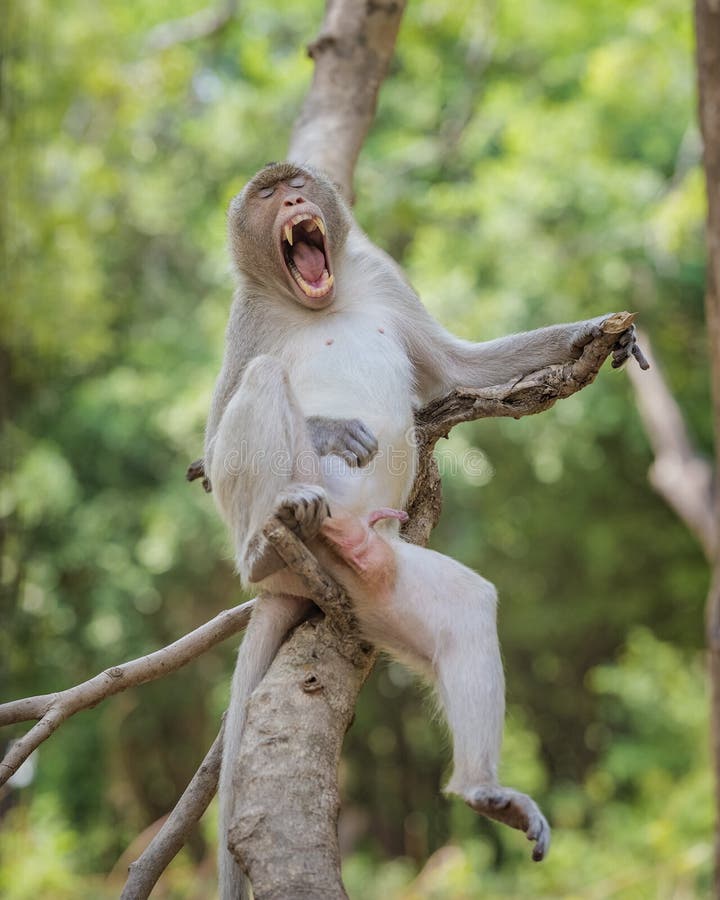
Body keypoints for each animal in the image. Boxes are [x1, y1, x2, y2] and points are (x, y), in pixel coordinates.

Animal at [204, 161, 648, 898]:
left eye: (297, 183)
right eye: (267, 193)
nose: (291, 198)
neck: (320, 302)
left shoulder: (380, 273)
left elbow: (457, 365)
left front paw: (593, 334)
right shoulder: (245, 318)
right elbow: (209, 455)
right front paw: (331, 430)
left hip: (377, 577)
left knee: (466, 604)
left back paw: (483, 793)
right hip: (288, 511)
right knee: (263, 383)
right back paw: (264, 549)